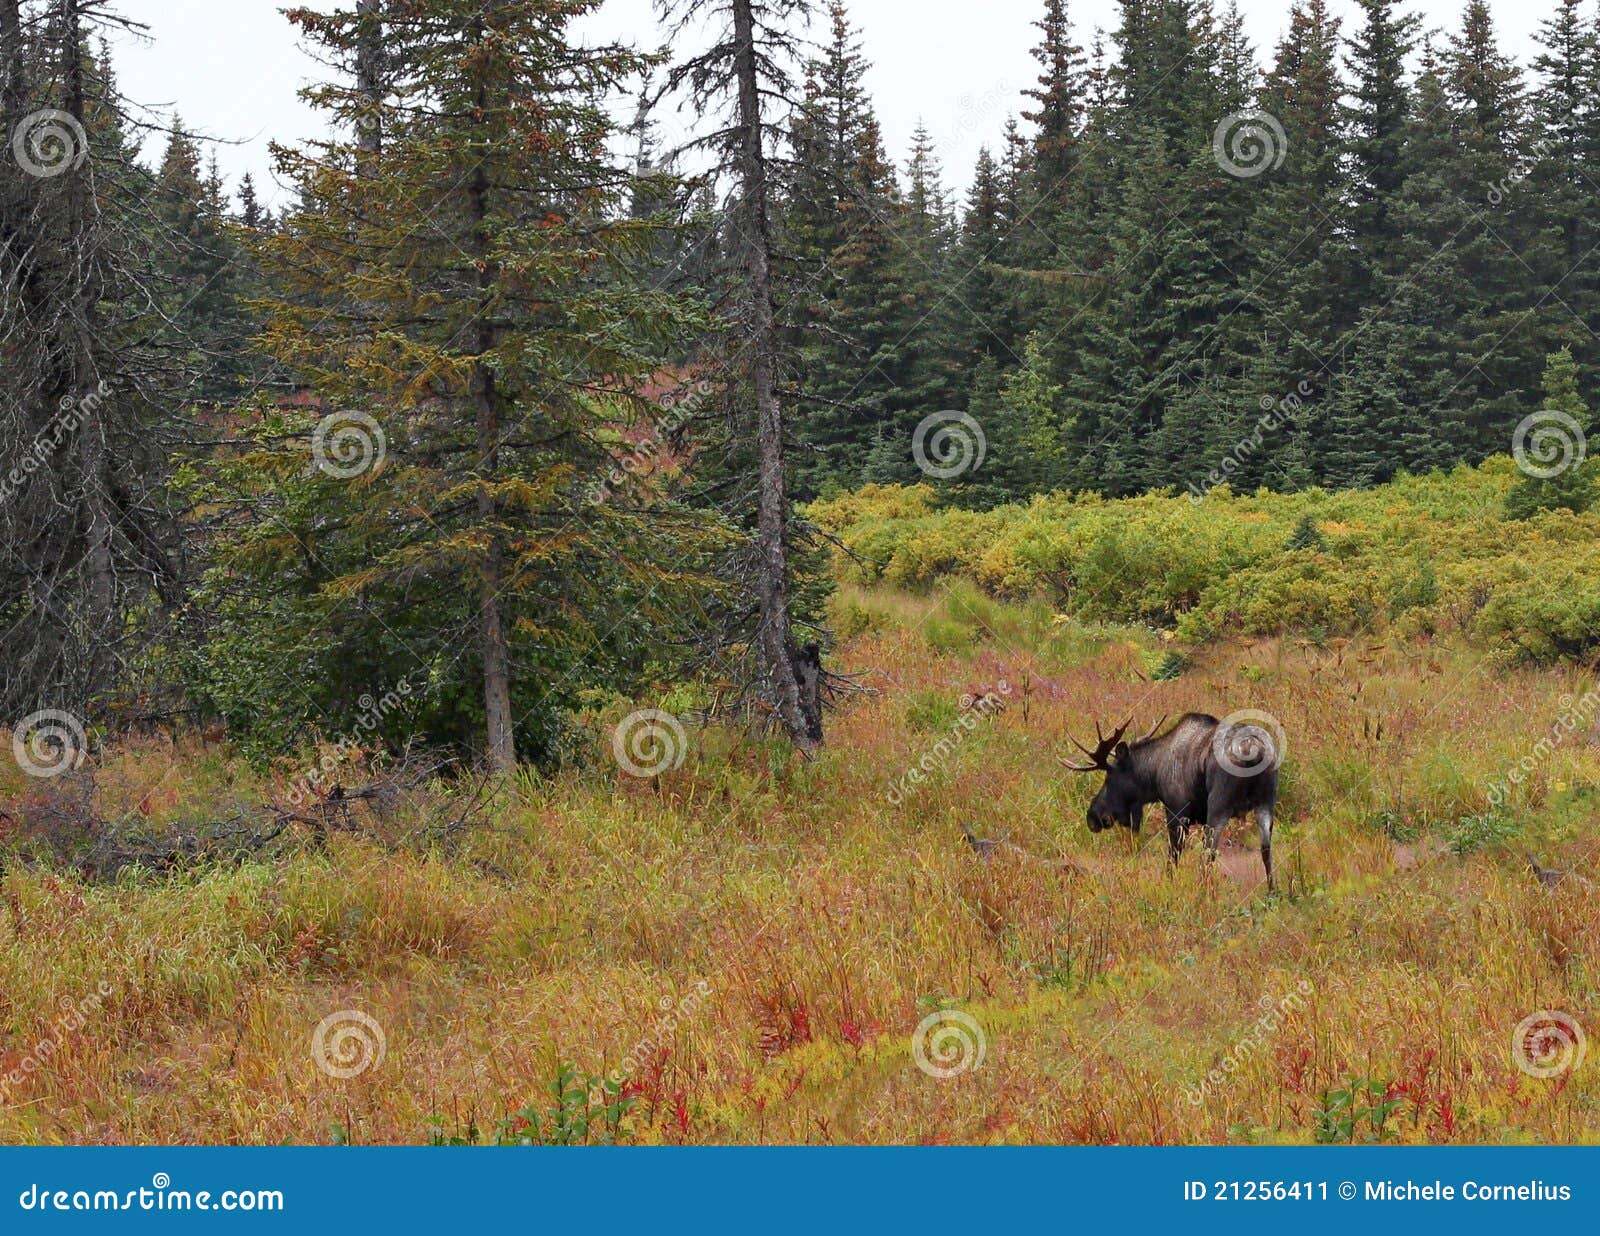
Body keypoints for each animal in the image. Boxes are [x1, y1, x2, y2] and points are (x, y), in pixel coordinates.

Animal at [1057, 713, 1282, 891]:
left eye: (1109, 777)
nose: (1092, 816)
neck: (1154, 775)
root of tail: (1255, 752)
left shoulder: (1176, 812)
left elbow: (1173, 853)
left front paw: (1168, 882)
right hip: (1266, 802)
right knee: (1266, 849)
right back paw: (1271, 891)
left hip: (1219, 804)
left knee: (1210, 852)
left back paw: (1202, 890)